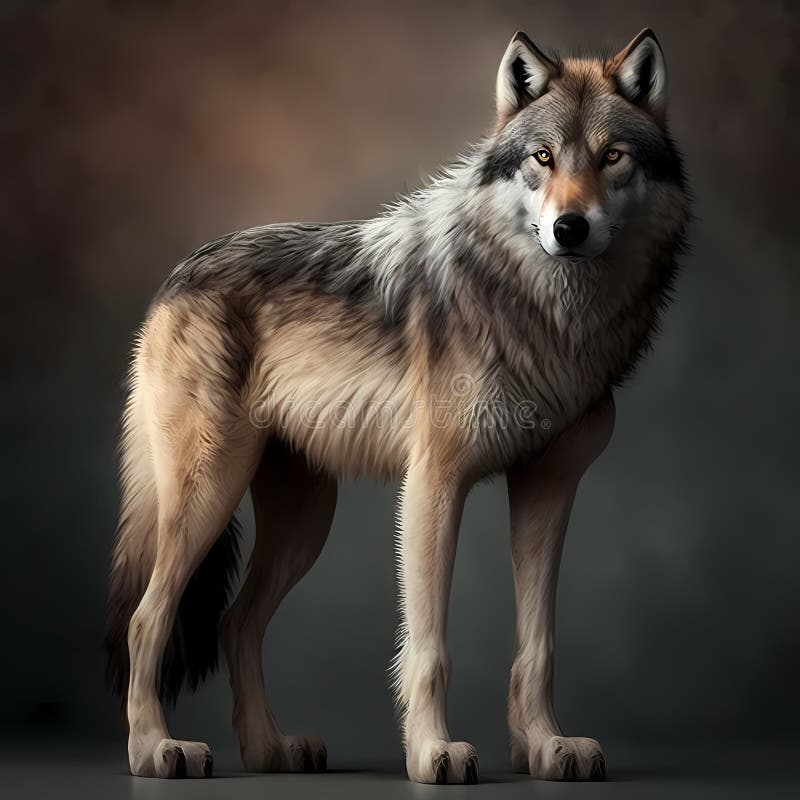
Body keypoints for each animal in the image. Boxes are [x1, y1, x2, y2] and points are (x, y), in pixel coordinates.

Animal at [104, 28, 688, 783]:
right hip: (208, 495)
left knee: (237, 623)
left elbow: (538, 646)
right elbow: (429, 644)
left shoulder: (547, 489)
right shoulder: (433, 485)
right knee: (148, 619)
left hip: (305, 521)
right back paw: (155, 749)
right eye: (543, 158)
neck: (549, 317)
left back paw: (271, 750)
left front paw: (546, 746)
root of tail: (176, 276)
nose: (569, 226)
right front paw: (434, 752)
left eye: (612, 156)